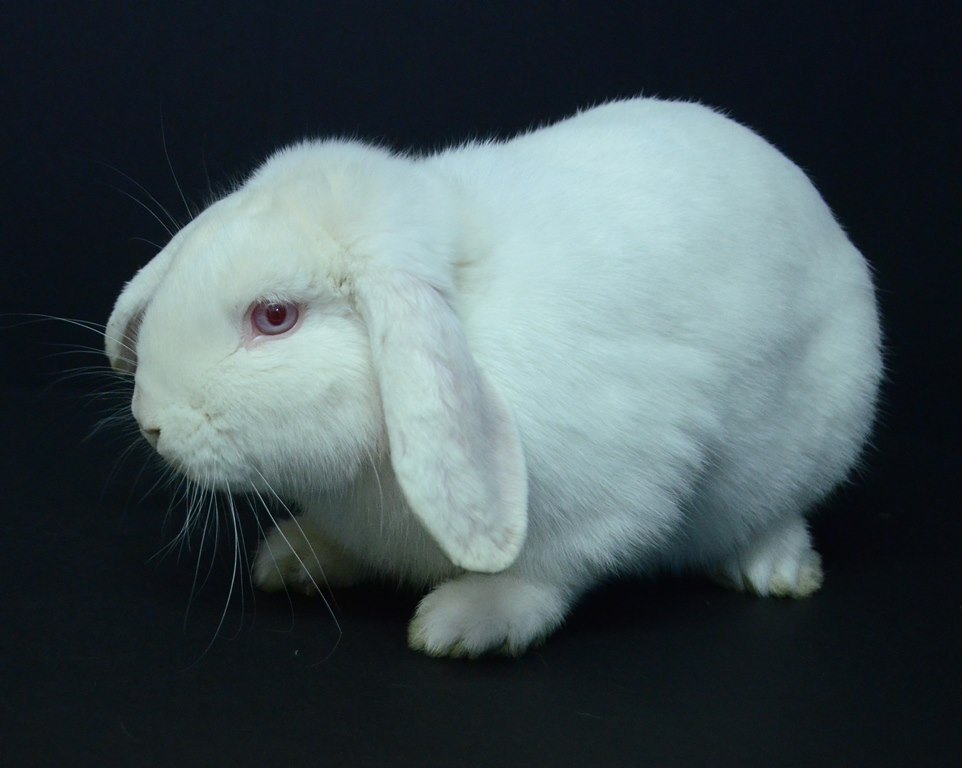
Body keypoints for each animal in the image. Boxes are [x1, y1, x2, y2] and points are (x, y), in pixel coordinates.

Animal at [105, 97, 882, 657]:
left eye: (274, 316)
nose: (149, 421)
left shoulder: (620, 488)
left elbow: (546, 572)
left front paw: (464, 620)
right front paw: (296, 555)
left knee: (777, 513)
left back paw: (777, 569)